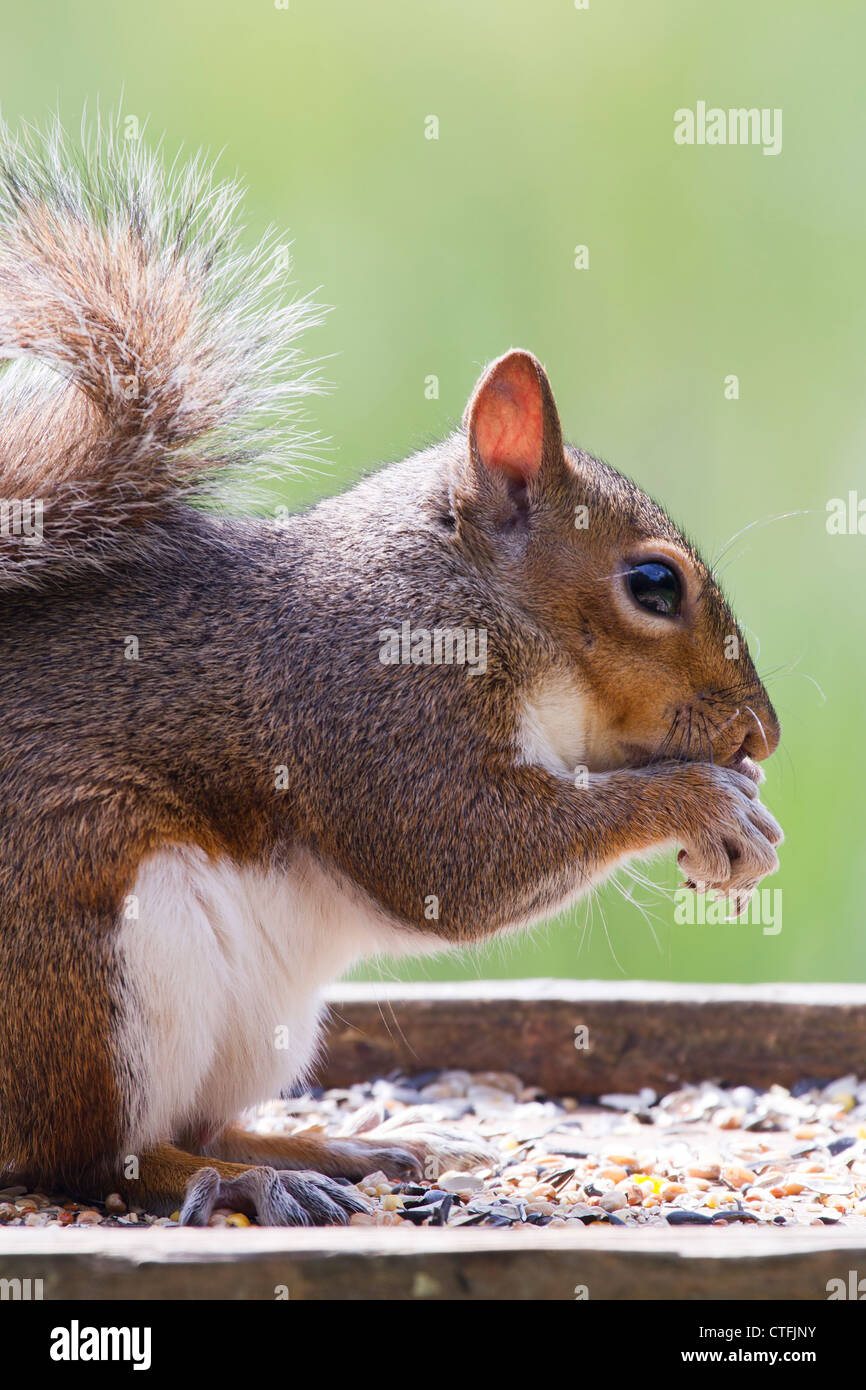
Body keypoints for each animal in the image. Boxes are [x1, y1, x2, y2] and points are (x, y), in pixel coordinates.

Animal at [0, 119, 782, 1227]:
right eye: (651, 584)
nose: (761, 735)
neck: (465, 597)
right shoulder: (366, 703)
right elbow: (451, 854)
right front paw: (701, 800)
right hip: (92, 956)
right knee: (91, 1160)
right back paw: (240, 1180)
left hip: (254, 1023)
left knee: (194, 1123)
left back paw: (328, 1147)